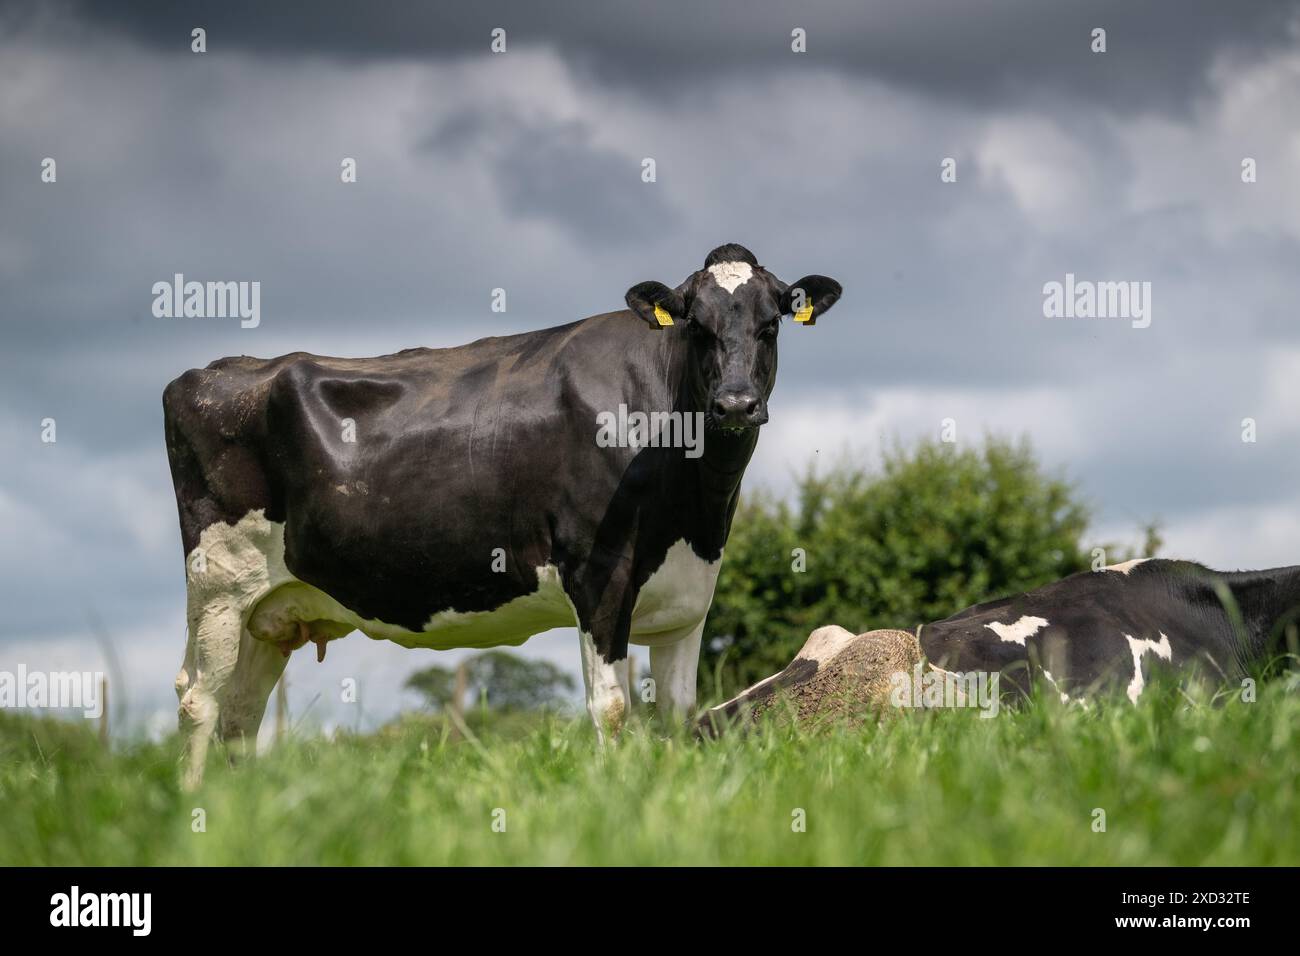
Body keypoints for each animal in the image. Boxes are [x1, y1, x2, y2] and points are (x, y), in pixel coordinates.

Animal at [163, 243, 842, 785]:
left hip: (271, 609)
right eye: (696, 326)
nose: (735, 403)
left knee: (241, 714)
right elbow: (612, 708)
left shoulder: (687, 597)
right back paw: (196, 807)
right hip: (219, 584)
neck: (694, 503)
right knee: (198, 700)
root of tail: (214, 371)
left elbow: (678, 713)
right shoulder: (598, 574)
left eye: (771, 324)